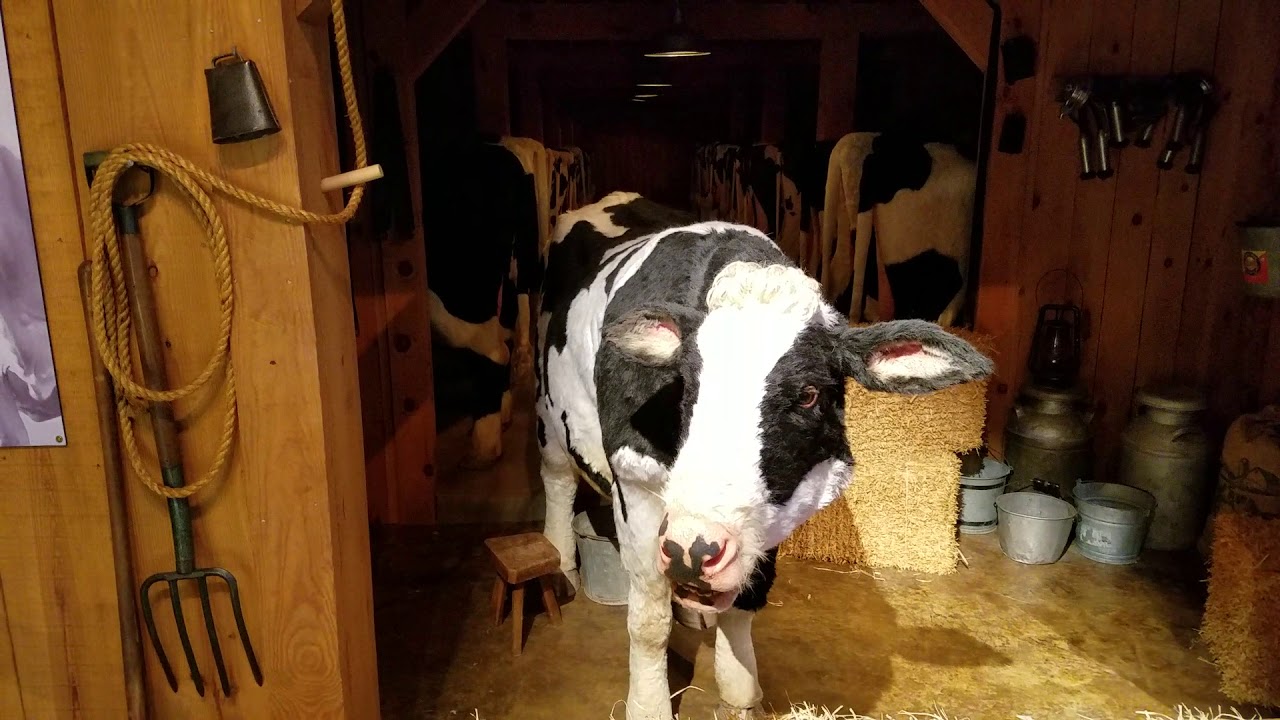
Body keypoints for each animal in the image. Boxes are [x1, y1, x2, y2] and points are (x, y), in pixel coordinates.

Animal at [534, 191, 993, 719]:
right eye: (686, 384)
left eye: (810, 395)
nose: (695, 549)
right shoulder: (635, 482)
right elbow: (648, 621)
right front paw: (648, 705)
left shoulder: (776, 506)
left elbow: (746, 603)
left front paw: (739, 691)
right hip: (548, 412)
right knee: (557, 479)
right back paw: (562, 565)